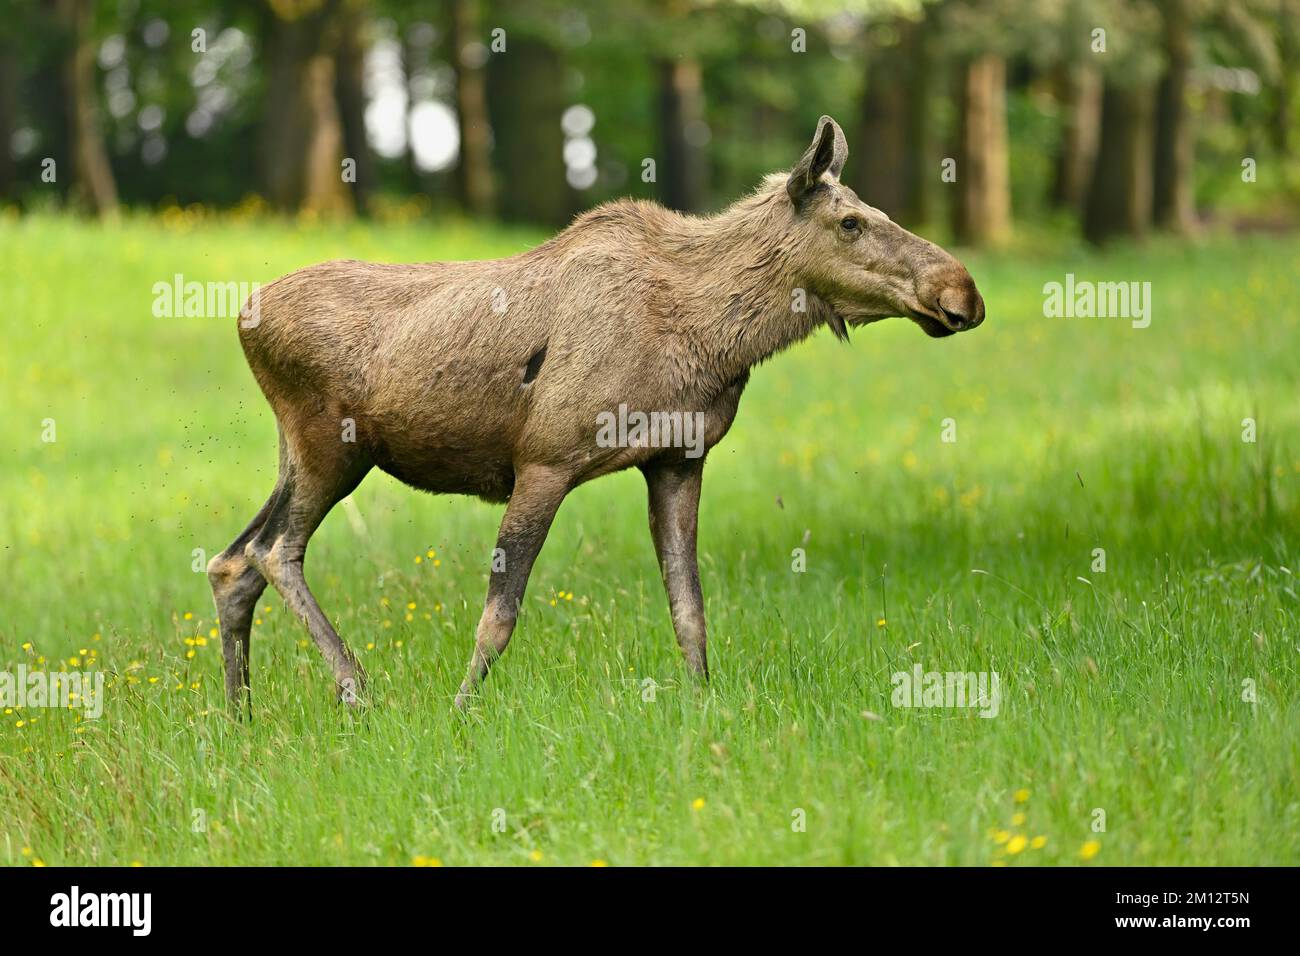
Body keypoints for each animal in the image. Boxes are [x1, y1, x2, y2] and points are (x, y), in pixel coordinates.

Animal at [206, 115, 985, 713]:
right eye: (851, 221)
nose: (963, 292)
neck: (710, 337)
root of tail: (243, 317)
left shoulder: (677, 460)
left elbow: (690, 610)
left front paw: (703, 705)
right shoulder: (545, 459)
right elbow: (499, 614)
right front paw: (460, 712)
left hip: (304, 454)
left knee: (230, 560)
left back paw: (243, 716)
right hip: (331, 446)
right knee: (274, 551)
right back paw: (355, 689)